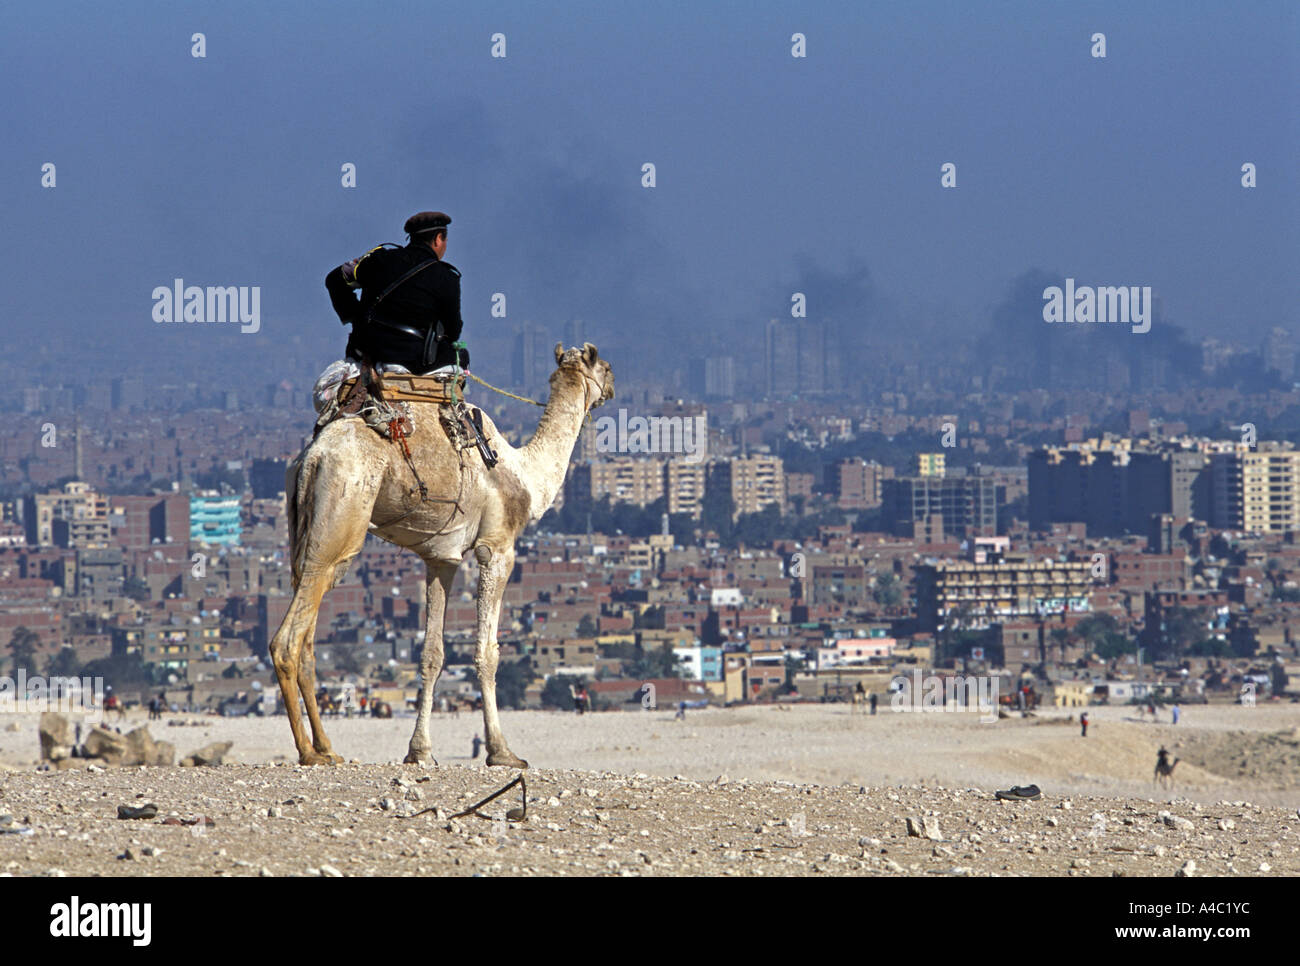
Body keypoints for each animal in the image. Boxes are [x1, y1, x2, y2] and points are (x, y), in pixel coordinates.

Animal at [269, 343, 614, 767]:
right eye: (604, 366)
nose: (612, 386)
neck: (525, 477)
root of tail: (311, 459)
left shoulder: (441, 560)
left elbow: (432, 654)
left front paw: (419, 751)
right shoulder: (497, 548)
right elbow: (487, 652)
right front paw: (502, 753)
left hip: (302, 533)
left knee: (307, 637)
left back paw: (327, 748)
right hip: (339, 520)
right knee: (288, 638)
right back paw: (308, 752)